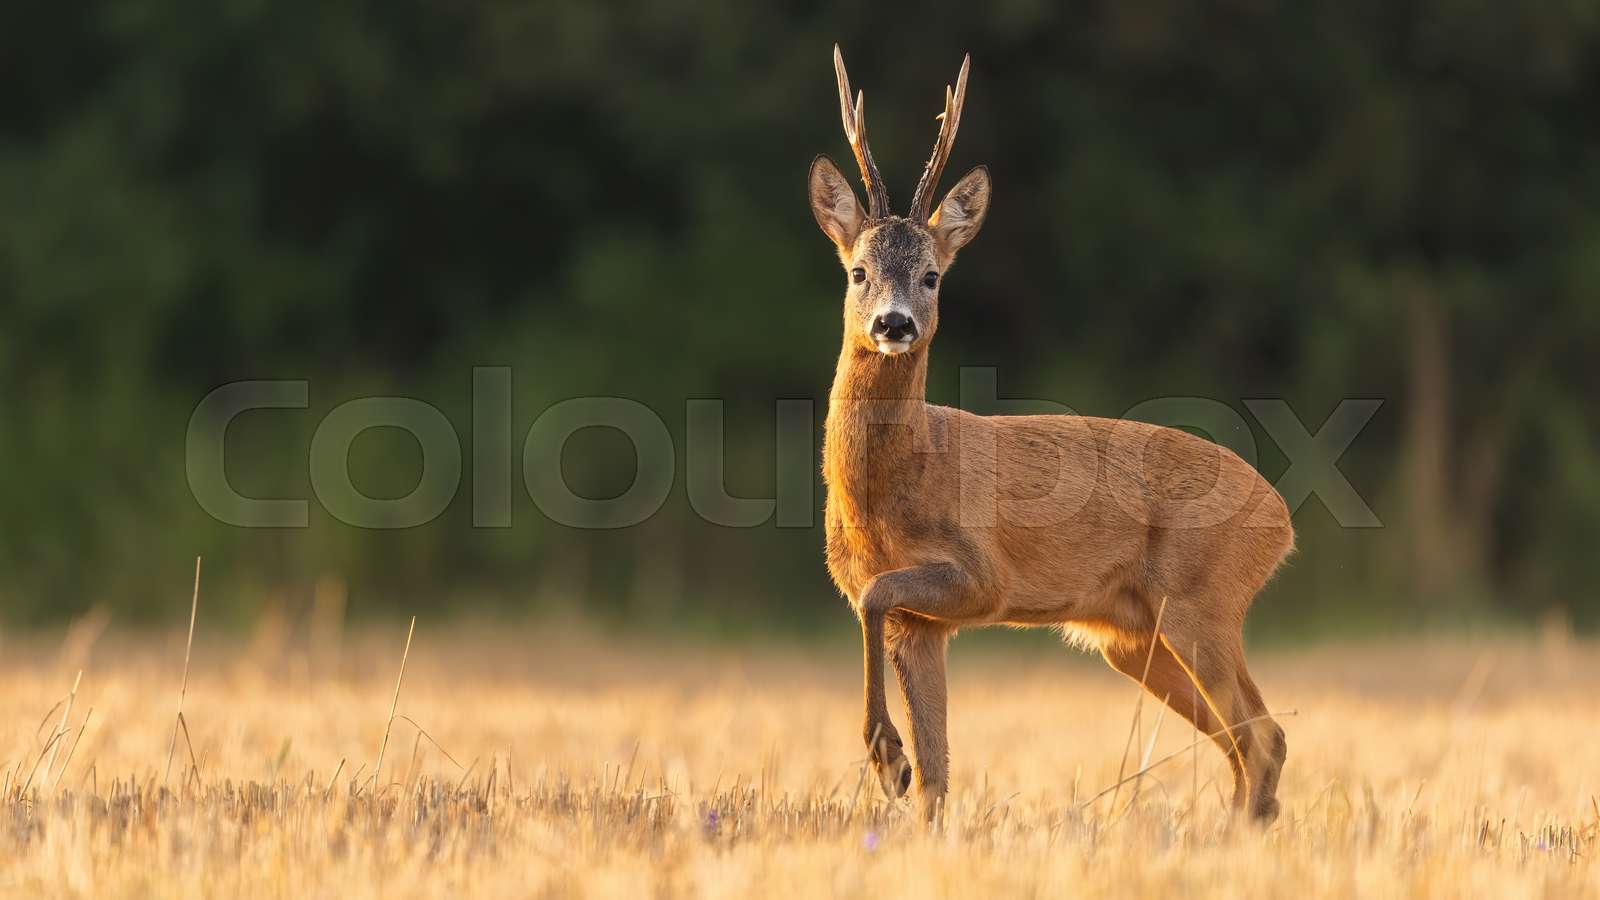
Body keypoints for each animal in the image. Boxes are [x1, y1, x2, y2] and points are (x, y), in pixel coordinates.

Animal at [809, 46, 1296, 824]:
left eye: (932, 276)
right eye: (858, 271)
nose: (894, 323)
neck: (889, 493)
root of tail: (1282, 520)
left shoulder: (981, 577)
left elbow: (874, 597)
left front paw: (886, 756)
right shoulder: (924, 624)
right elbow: (939, 770)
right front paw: (905, 778)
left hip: (1202, 600)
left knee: (1263, 735)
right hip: (1134, 637)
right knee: (1244, 743)